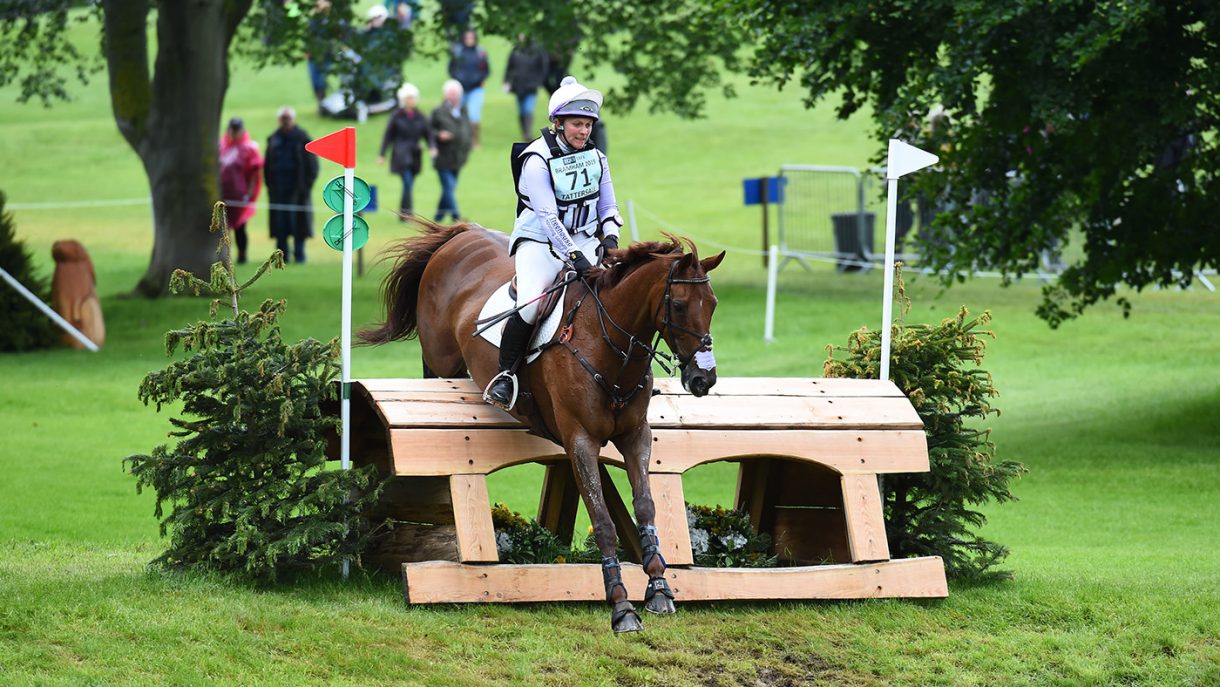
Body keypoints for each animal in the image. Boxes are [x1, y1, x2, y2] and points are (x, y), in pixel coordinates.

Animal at [360, 219, 724, 633]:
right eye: (678, 305)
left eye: (712, 305)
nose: (703, 379)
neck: (609, 343)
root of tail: (462, 234)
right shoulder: (580, 440)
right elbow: (603, 521)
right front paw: (621, 606)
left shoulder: (636, 436)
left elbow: (645, 507)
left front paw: (660, 589)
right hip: (439, 364)